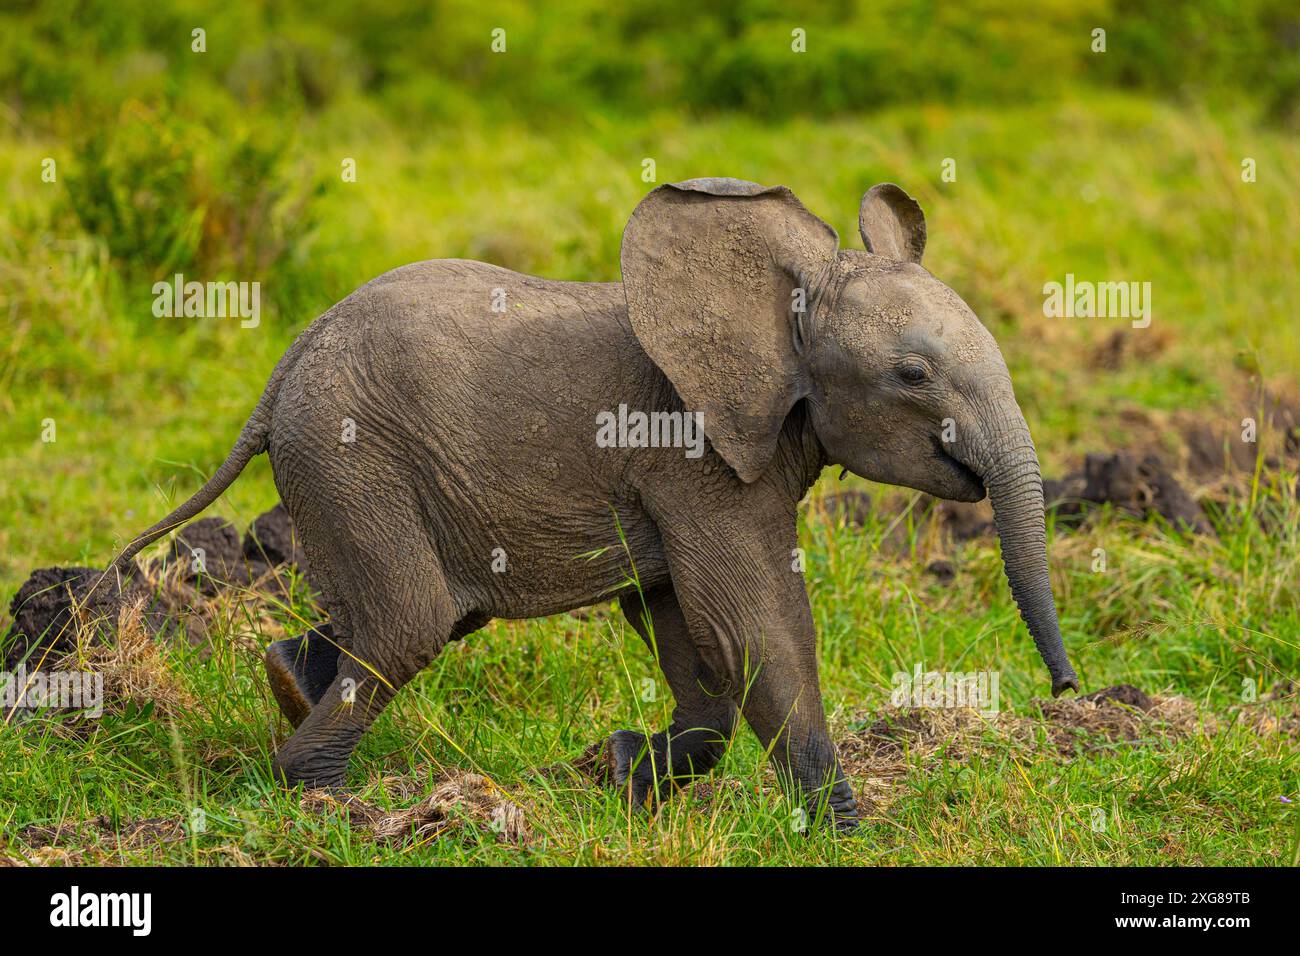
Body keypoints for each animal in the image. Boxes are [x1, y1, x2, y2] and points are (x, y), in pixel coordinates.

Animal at [110, 177, 1079, 829]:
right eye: (912, 375)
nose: (1067, 692)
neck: (780, 312)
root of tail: (282, 370)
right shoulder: (695, 458)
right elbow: (754, 621)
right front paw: (842, 833)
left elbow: (681, 622)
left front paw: (622, 771)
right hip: (353, 454)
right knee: (412, 621)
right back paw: (329, 801)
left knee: (416, 617)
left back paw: (289, 683)